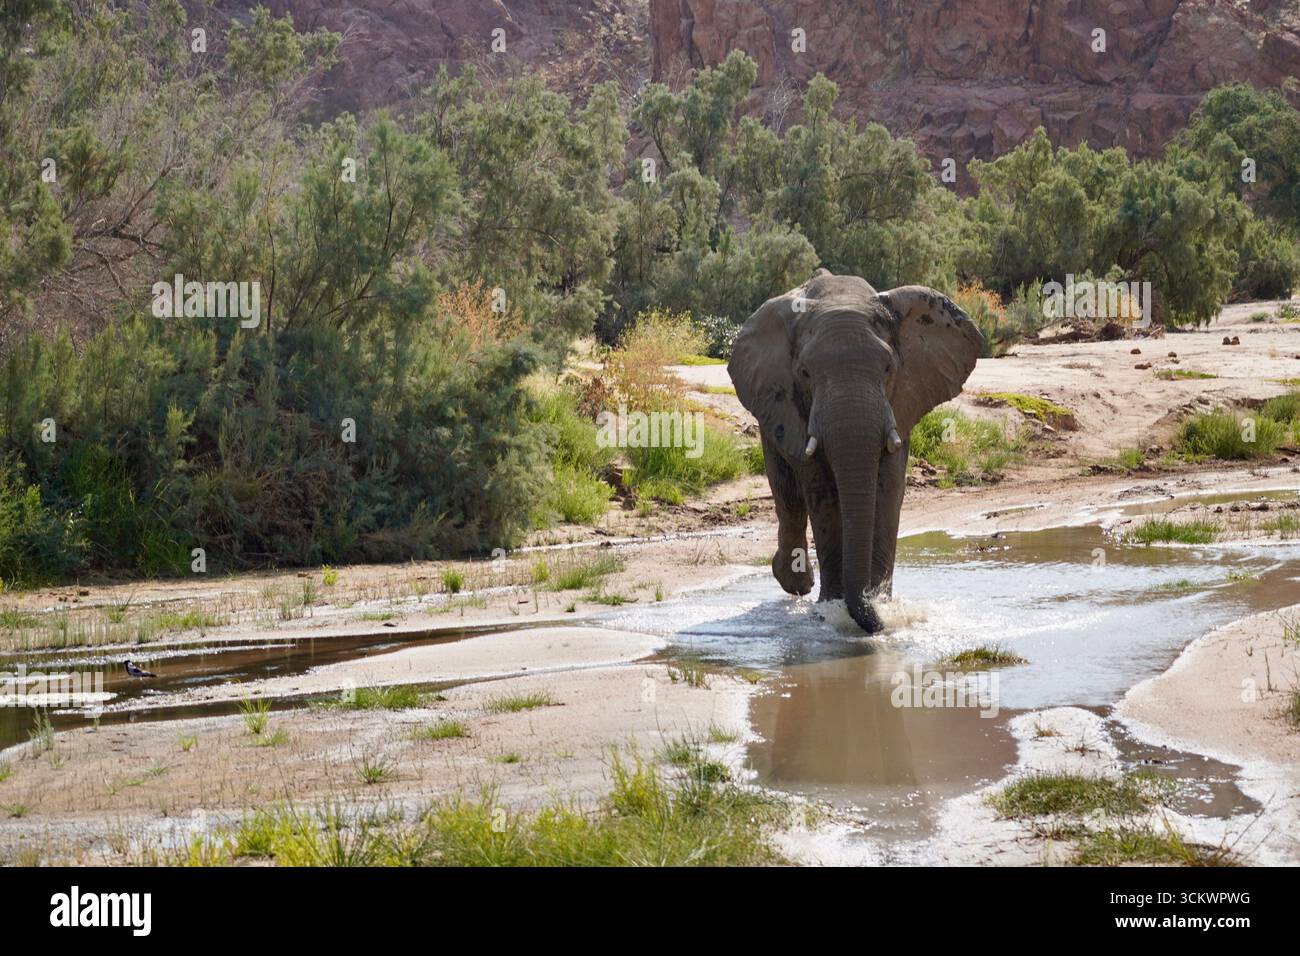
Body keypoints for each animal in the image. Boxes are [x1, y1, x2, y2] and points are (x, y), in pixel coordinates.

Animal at [727, 269, 983, 633]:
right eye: (804, 373)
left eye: (889, 368)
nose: (882, 620)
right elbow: (820, 491)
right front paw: (833, 609)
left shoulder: (902, 398)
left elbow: (888, 485)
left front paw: (880, 603)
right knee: (787, 493)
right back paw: (796, 584)